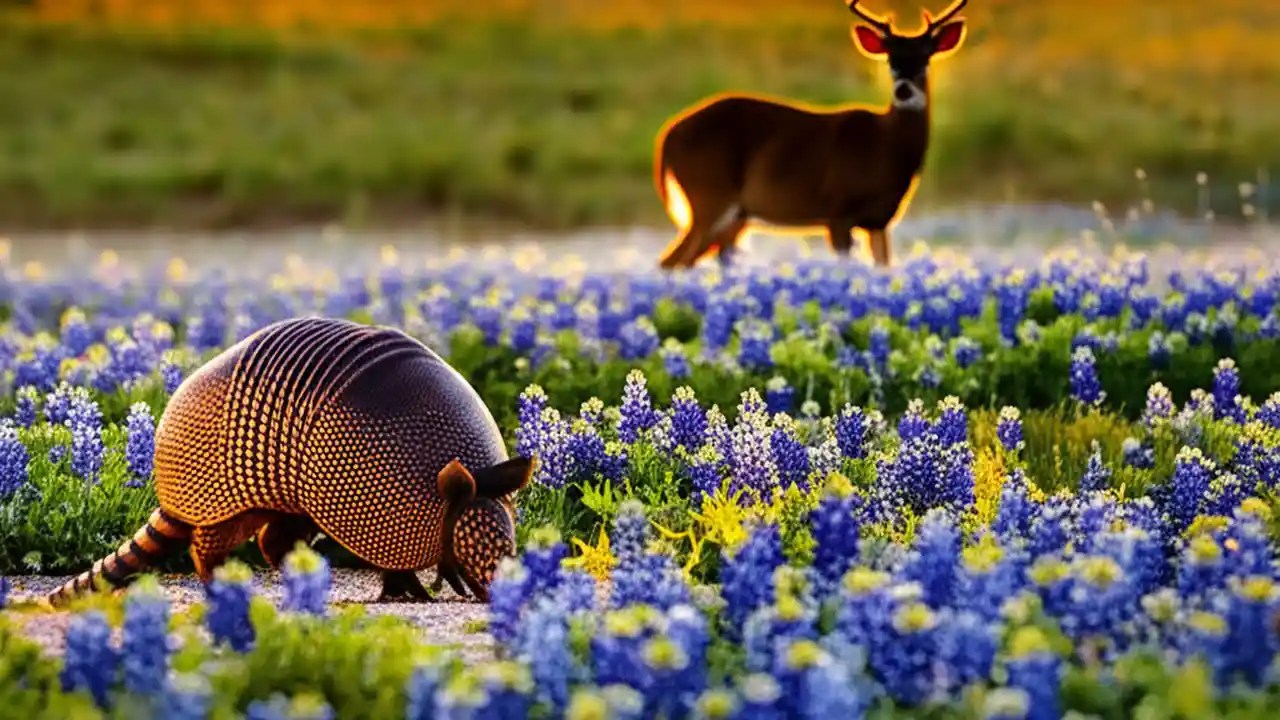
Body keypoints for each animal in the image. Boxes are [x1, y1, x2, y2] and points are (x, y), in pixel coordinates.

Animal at [652, 0, 970, 271]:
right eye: (890, 60)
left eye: (925, 57)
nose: (903, 91)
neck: (885, 148)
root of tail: (667, 136)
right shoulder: (839, 211)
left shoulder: (880, 221)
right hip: (709, 196)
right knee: (674, 262)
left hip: (735, 214)